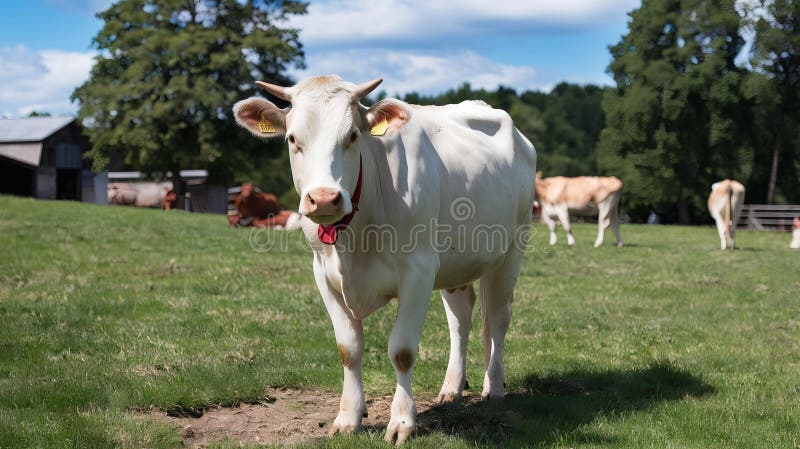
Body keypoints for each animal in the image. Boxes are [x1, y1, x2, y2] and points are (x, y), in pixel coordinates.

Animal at [233, 75, 537, 445]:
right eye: (292, 138)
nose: (324, 198)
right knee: (461, 317)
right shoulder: (323, 273)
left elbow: (402, 351)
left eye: (352, 136)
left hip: (512, 249)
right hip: (456, 261)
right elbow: (348, 348)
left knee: (497, 319)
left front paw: (402, 422)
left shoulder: (418, 270)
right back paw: (452, 386)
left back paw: (494, 386)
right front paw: (348, 417)